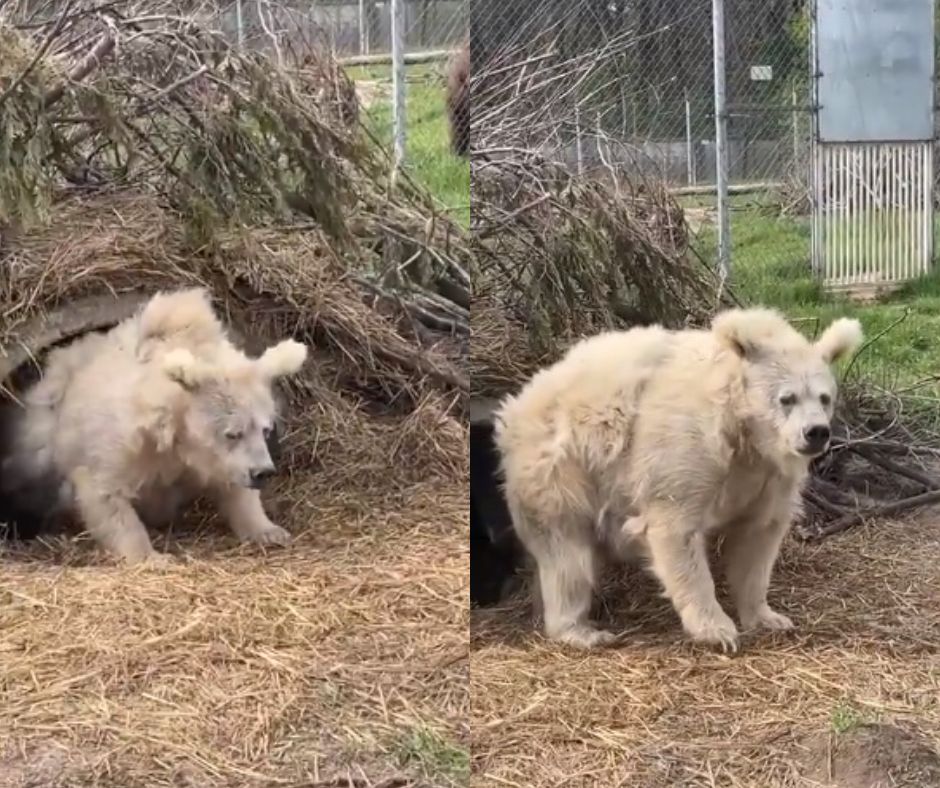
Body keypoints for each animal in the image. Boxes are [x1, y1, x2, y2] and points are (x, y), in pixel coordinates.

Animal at [1, 287, 307, 564]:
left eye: (265, 429)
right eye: (233, 433)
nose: (263, 472)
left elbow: (235, 489)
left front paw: (269, 531)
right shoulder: (122, 443)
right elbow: (106, 493)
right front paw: (151, 556)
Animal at [493, 308, 863, 651]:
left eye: (824, 397)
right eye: (787, 398)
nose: (816, 432)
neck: (742, 431)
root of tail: (517, 405)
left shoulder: (766, 475)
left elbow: (757, 539)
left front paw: (769, 617)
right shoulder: (686, 447)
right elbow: (676, 529)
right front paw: (718, 630)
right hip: (561, 469)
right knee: (567, 555)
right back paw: (582, 631)